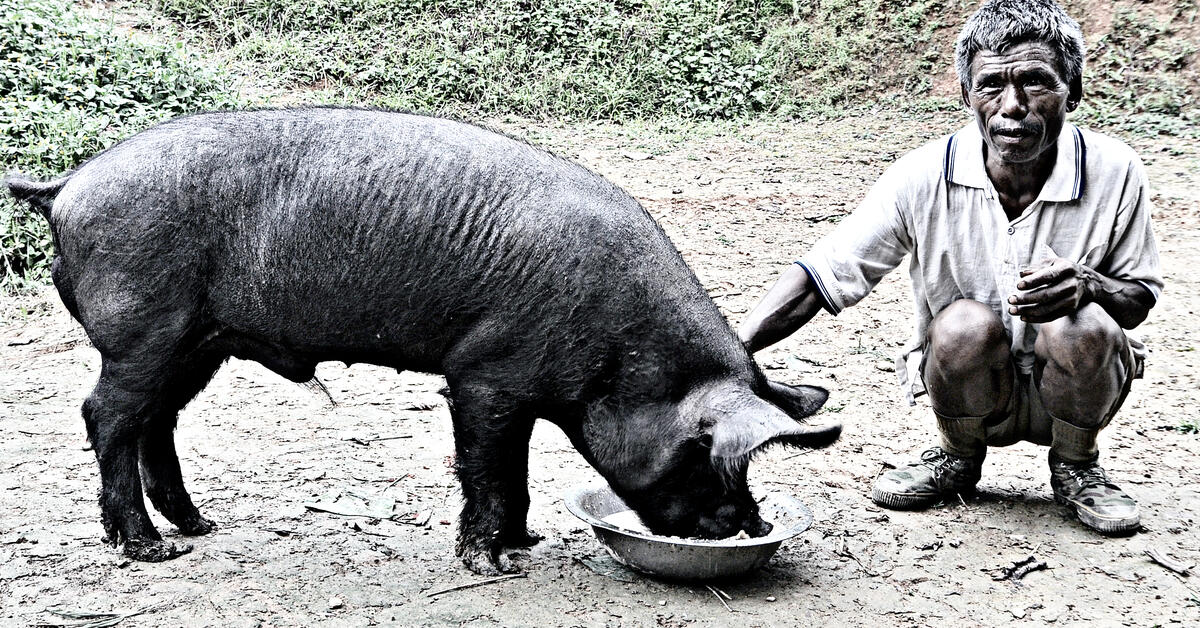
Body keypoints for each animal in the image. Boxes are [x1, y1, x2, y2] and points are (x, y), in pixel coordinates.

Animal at [6, 107, 838, 575]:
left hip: (199, 343)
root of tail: (68, 186)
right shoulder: (482, 376)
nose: (752, 524)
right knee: (108, 415)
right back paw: (151, 548)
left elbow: (518, 473)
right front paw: (494, 564)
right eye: (706, 453)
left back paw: (199, 525)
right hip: (143, 328)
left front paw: (528, 543)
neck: (622, 352)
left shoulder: (520, 392)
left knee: (160, 421)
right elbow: (488, 470)